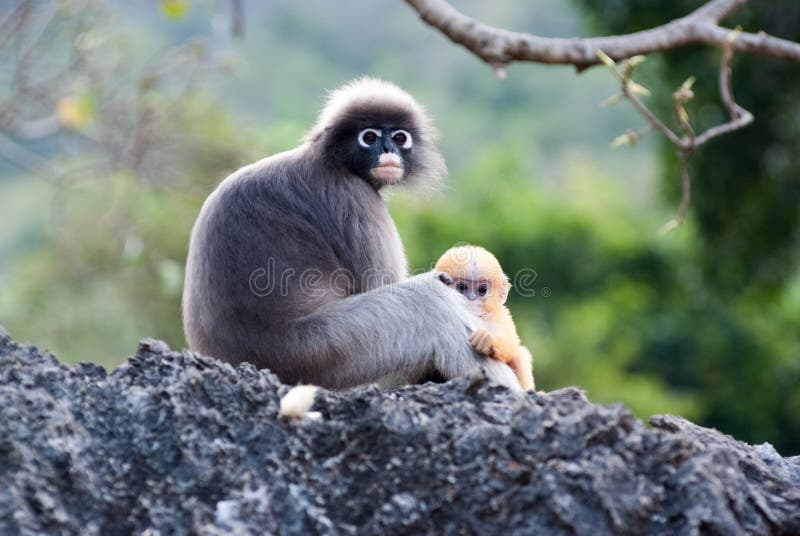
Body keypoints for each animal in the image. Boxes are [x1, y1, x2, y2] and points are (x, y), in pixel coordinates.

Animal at [182, 77, 520, 391]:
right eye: (369, 137)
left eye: (400, 137)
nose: (388, 150)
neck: (333, 162)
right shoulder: (355, 198)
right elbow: (383, 284)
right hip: (319, 354)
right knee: (429, 302)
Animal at [435, 245, 535, 391]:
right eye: (461, 288)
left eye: (482, 290)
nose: (471, 298)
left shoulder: (500, 316)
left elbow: (510, 344)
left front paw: (487, 339)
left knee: (519, 356)